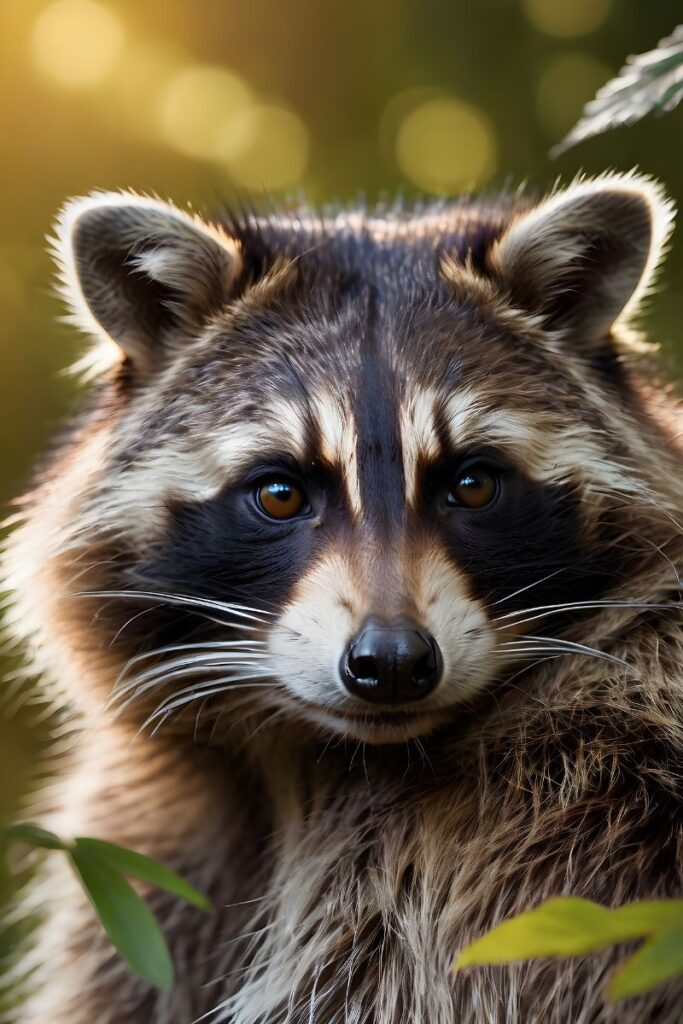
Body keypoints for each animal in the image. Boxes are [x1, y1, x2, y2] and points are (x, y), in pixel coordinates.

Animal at [3, 171, 683, 1023]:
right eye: (281, 494)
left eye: (472, 484)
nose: (391, 662)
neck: (330, 762)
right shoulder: (156, 861)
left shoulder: (579, 808)